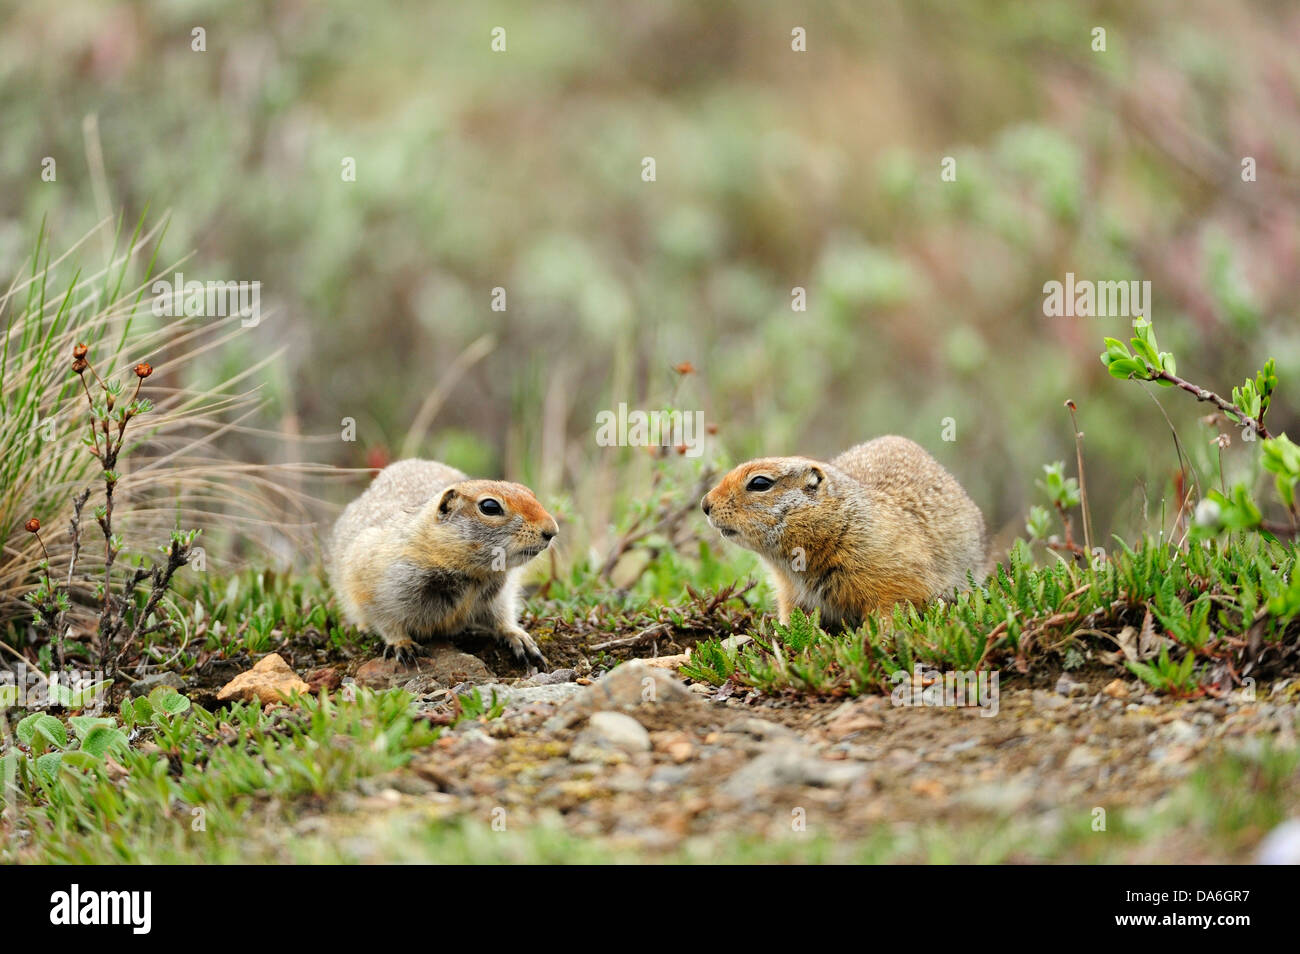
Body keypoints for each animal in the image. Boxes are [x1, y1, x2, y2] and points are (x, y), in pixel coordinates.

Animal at [328, 459, 557, 668]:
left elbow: (502, 615)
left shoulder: (499, 594)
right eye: (489, 507)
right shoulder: (372, 587)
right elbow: (385, 620)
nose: (552, 530)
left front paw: (520, 638)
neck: (474, 573)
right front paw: (403, 645)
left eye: (529, 492)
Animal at [700, 436, 987, 629]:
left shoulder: (895, 576)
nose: (705, 504)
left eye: (760, 483)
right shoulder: (789, 591)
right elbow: (791, 611)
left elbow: (894, 606)